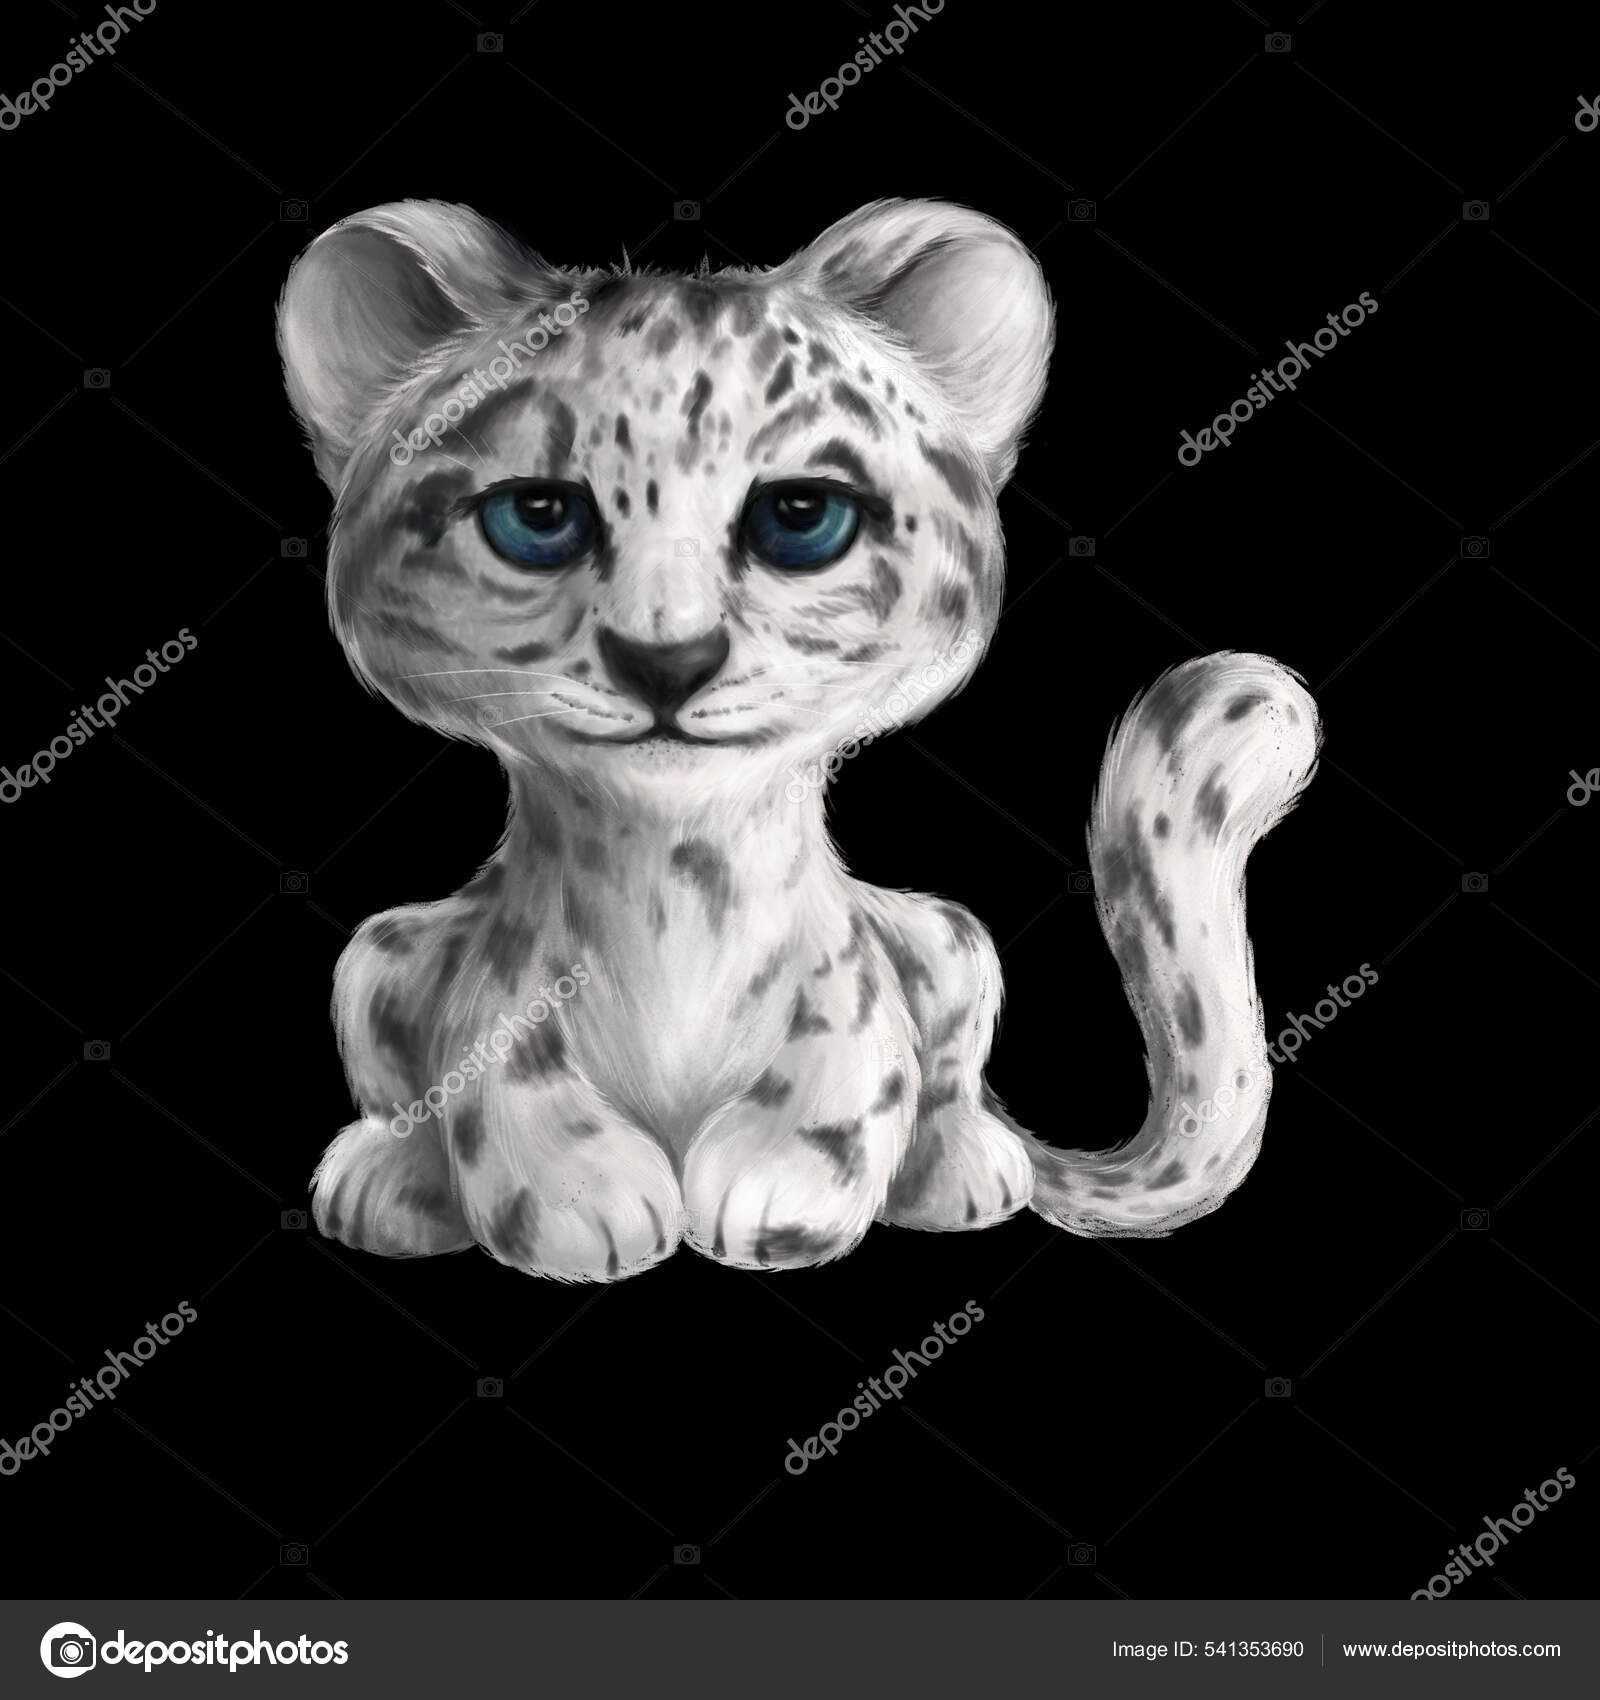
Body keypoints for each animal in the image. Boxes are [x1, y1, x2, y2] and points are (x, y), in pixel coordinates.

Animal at [277, 197, 1321, 1282]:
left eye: (801, 514)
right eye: (537, 513)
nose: (667, 658)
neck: (674, 885)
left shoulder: (862, 988)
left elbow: (853, 1058)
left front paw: (780, 1182)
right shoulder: (479, 994)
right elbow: (494, 1063)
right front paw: (580, 1195)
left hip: (952, 940)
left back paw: (969, 1170)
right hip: (376, 954)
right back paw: (381, 1186)